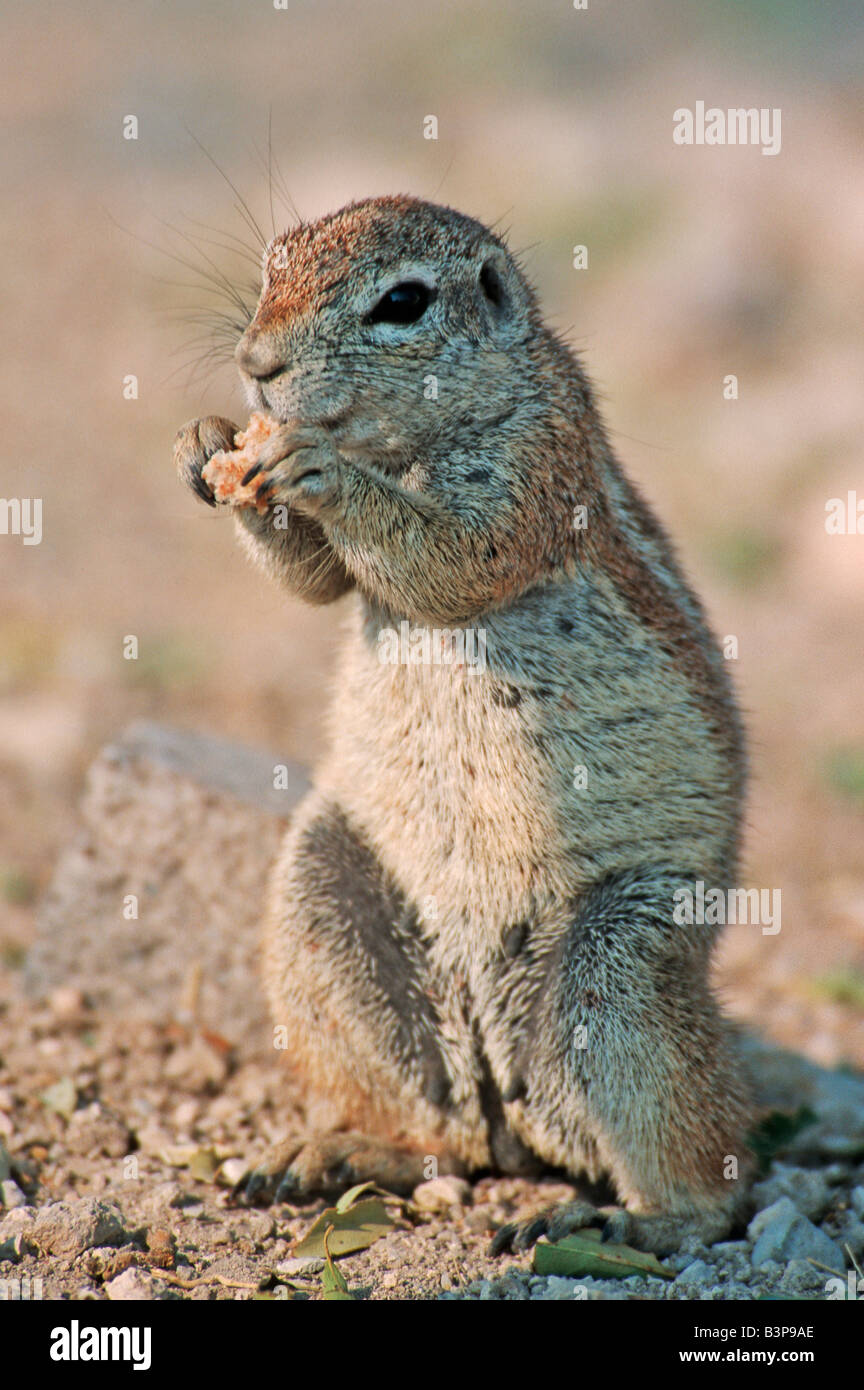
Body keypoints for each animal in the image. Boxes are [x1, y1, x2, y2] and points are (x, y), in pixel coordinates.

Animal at [173, 195, 753, 1255]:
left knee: (703, 1145)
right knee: (447, 1135)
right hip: (325, 909)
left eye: (402, 303)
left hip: (626, 960)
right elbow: (315, 582)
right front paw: (207, 444)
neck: (401, 444)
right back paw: (342, 1152)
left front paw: (316, 469)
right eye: (270, 264)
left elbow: (454, 556)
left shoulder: (537, 460)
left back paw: (642, 1221)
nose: (254, 362)